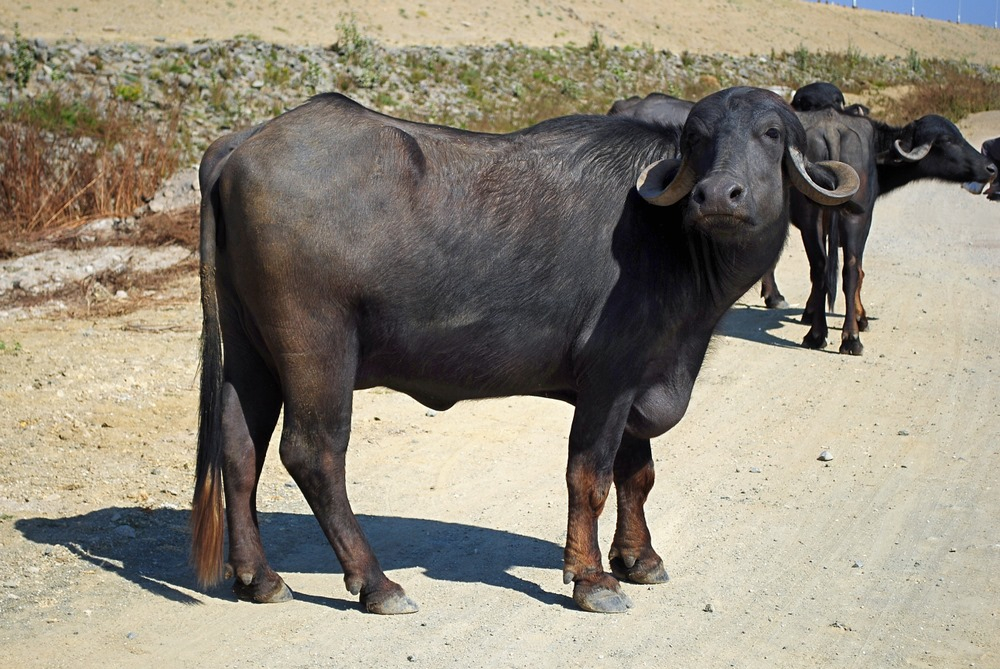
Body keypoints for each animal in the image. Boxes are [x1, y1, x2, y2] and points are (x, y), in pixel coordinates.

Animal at [191, 87, 858, 614]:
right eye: (697, 139)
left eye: (771, 134)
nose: (719, 196)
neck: (667, 239)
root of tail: (242, 145)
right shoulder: (607, 381)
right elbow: (590, 476)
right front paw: (592, 577)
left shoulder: (638, 379)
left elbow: (637, 473)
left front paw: (638, 558)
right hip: (318, 350)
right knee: (313, 454)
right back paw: (376, 583)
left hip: (251, 355)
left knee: (239, 449)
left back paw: (259, 578)